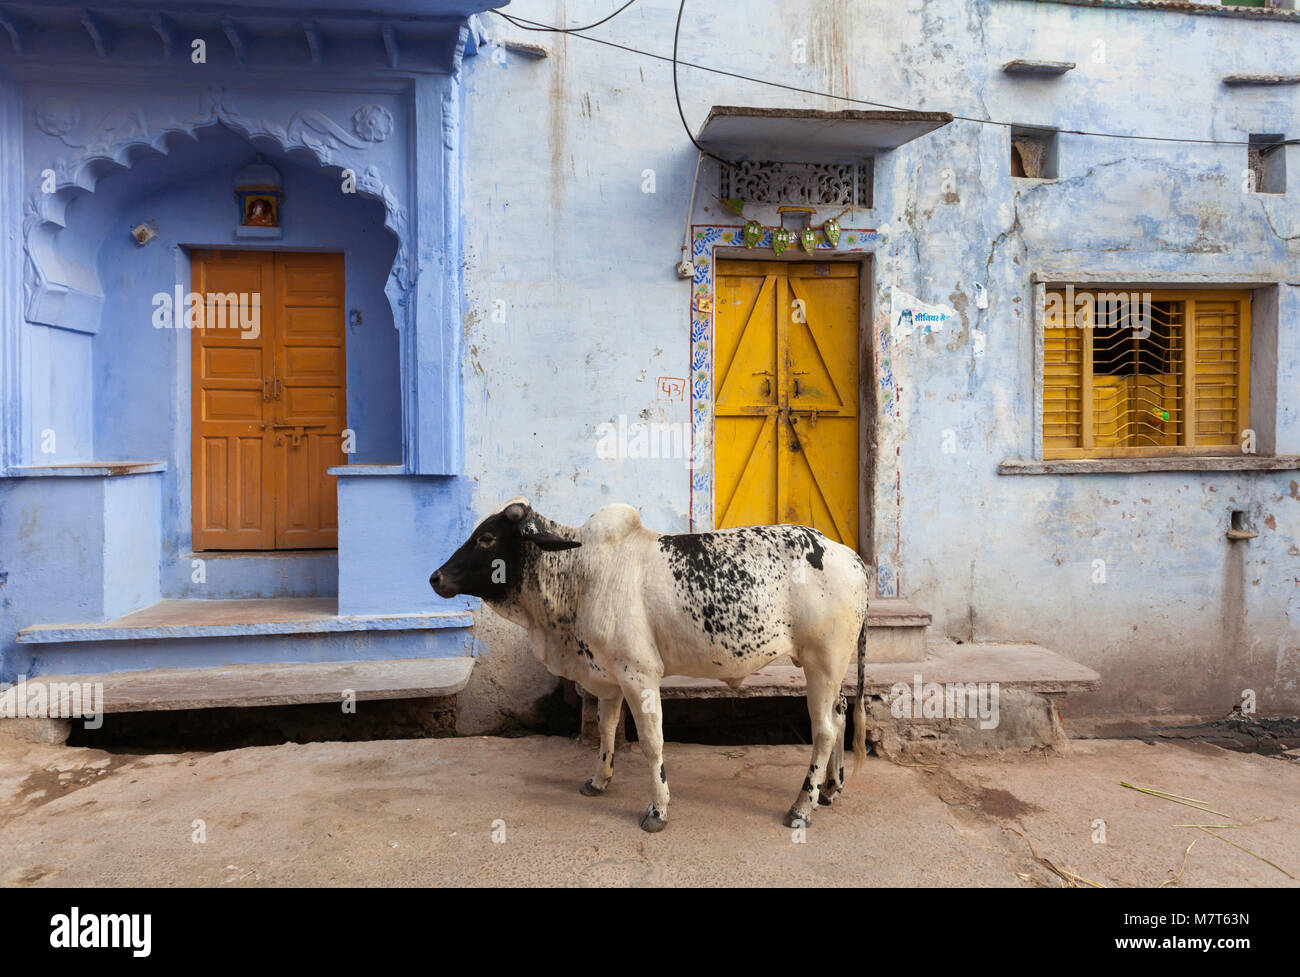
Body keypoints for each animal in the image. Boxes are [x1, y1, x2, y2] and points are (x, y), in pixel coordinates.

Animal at [430, 497, 872, 833]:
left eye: (487, 538)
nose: (435, 578)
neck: (579, 574)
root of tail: (851, 557)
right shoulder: (607, 678)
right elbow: (607, 730)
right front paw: (598, 781)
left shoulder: (639, 674)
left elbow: (651, 743)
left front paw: (658, 810)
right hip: (830, 668)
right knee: (841, 712)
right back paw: (830, 789)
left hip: (823, 661)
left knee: (824, 730)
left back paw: (801, 806)